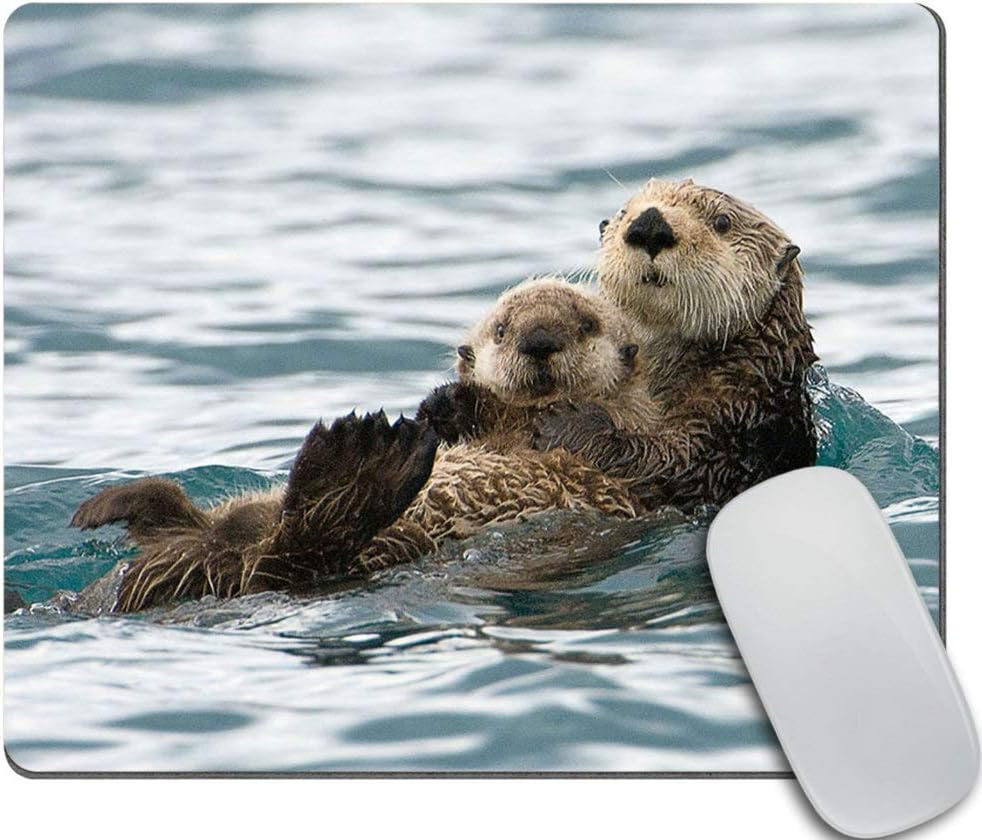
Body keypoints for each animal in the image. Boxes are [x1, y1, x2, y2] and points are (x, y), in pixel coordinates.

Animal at [70, 278, 654, 612]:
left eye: (587, 324)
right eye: (503, 330)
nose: (539, 341)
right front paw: (447, 404)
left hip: (375, 545)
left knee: (288, 557)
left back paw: (360, 458)